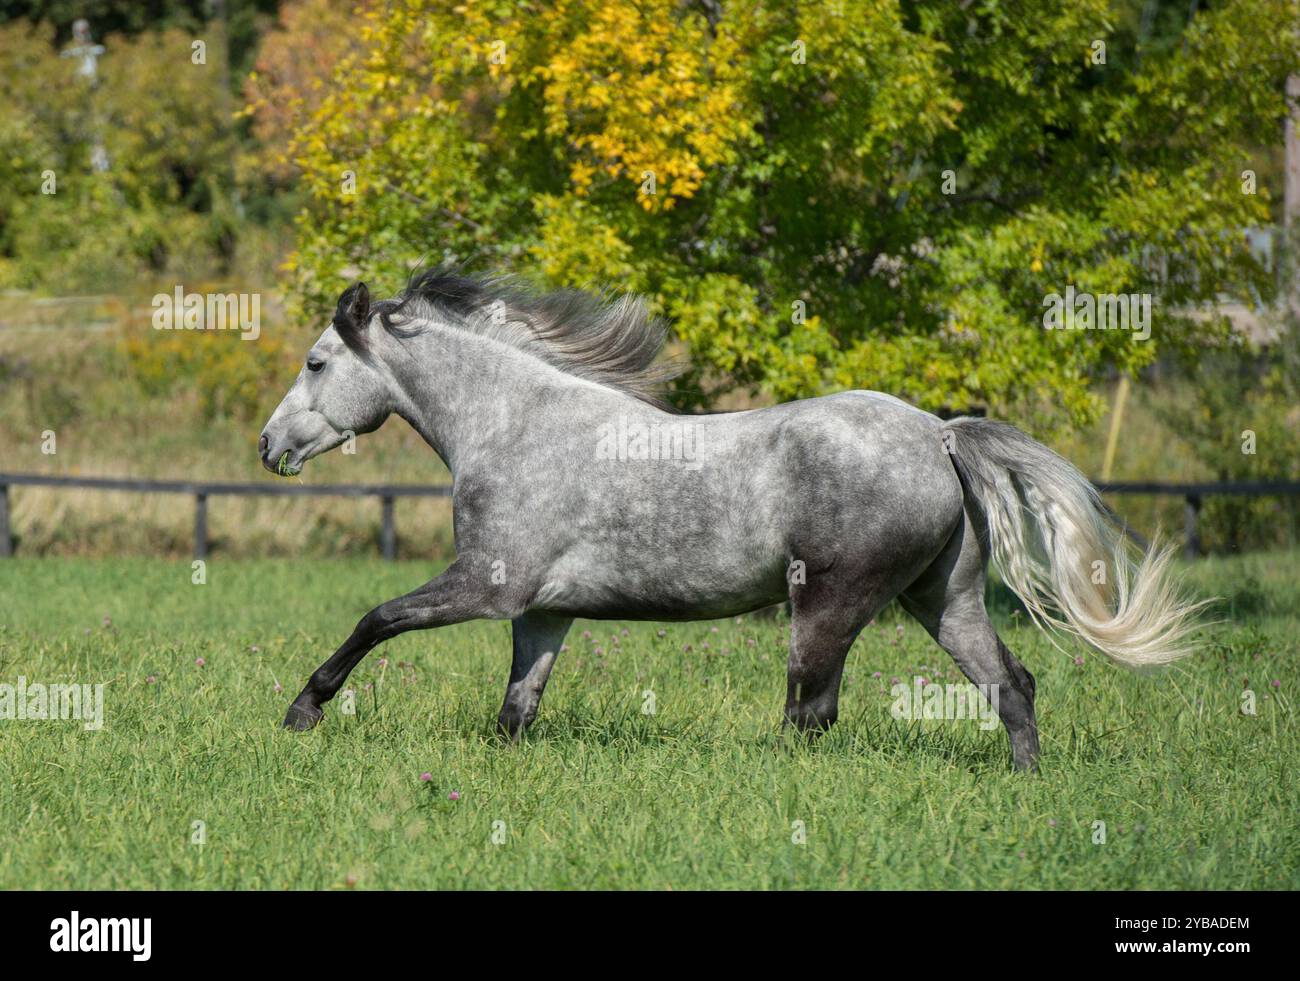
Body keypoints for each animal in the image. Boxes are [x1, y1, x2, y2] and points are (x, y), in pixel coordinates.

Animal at [259, 270, 1203, 770]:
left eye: (315, 362)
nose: (270, 445)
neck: (515, 423)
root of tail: (938, 433)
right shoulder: (543, 612)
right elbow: (516, 709)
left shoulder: (486, 587)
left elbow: (375, 619)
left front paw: (304, 711)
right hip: (943, 599)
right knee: (1011, 683)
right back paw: (1024, 780)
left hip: (828, 602)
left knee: (811, 710)